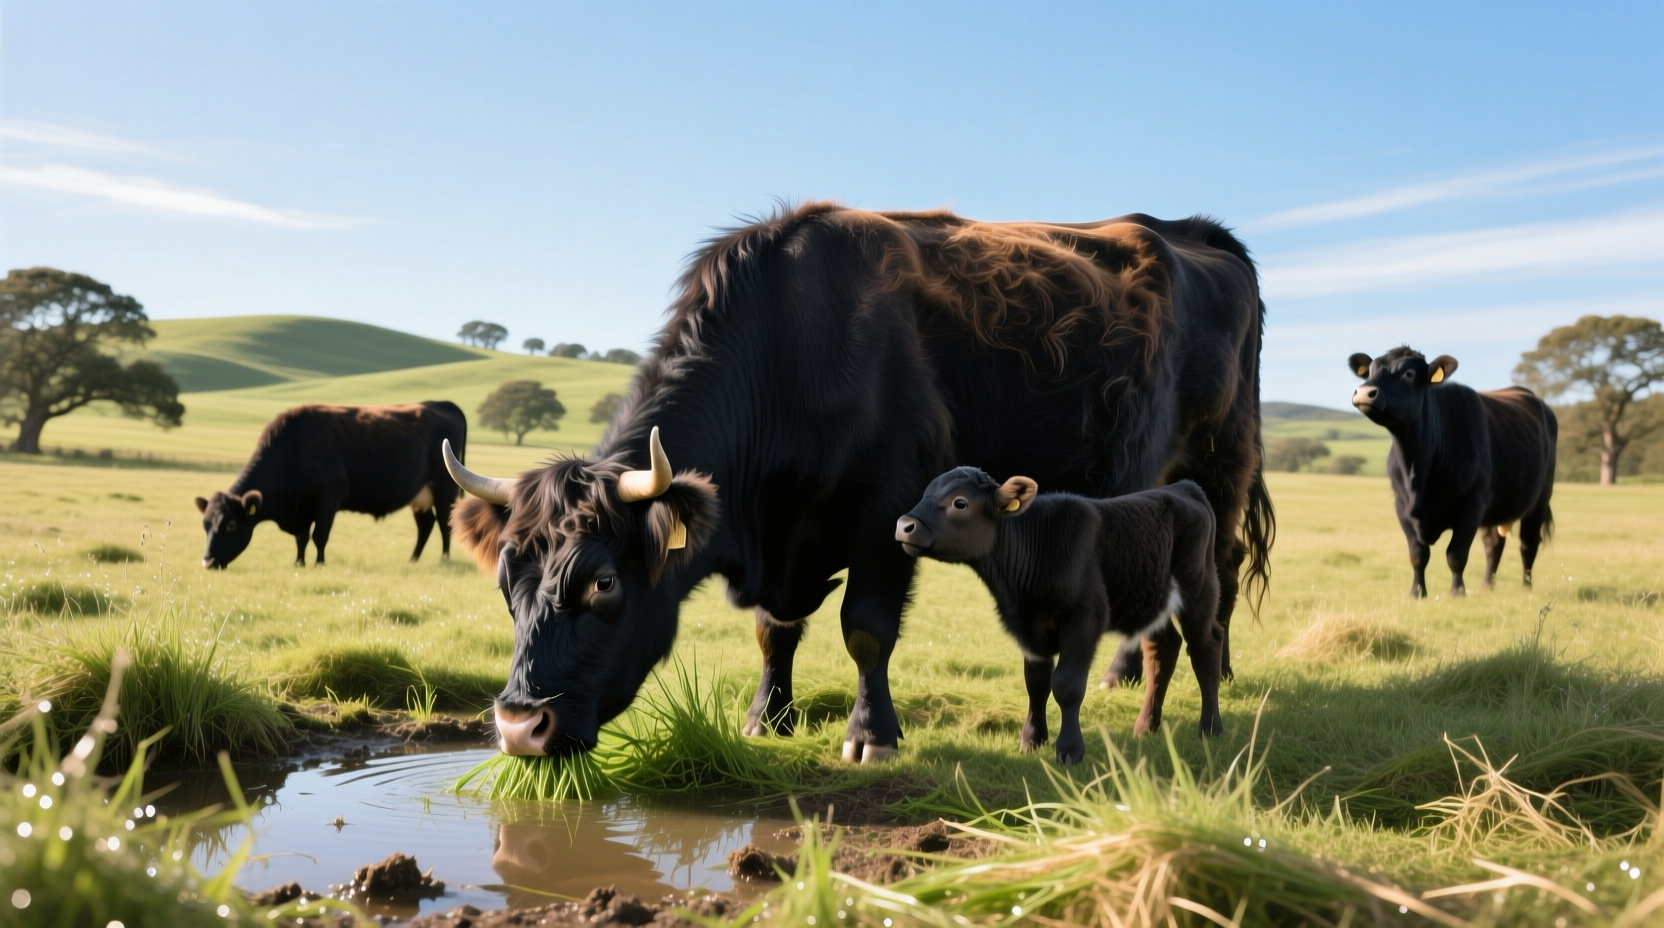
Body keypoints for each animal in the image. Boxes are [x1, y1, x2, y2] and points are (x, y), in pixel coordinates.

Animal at [195, 401, 467, 569]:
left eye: (231, 524)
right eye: (205, 524)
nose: (207, 563)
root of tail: (440, 404)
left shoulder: (327, 500)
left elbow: (319, 536)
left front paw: (319, 564)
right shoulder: (302, 509)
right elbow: (302, 538)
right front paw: (299, 563)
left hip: (445, 490)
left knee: (444, 524)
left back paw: (444, 559)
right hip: (421, 496)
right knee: (426, 526)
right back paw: (413, 560)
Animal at [895, 468, 1222, 763]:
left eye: (960, 503)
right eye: (925, 493)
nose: (904, 524)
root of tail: (1184, 487)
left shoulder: (1084, 618)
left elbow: (1066, 684)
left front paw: (1069, 750)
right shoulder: (1029, 626)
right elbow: (1036, 683)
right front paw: (1031, 740)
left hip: (1198, 588)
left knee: (1205, 647)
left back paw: (1210, 728)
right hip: (1150, 598)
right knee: (1163, 651)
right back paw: (1145, 726)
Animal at [1348, 348, 1556, 597]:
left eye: (1408, 373)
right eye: (1369, 371)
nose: (1364, 392)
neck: (1417, 471)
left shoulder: (1472, 505)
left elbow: (1456, 554)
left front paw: (1457, 593)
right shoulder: (1402, 507)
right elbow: (1418, 554)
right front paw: (1417, 592)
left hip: (1540, 499)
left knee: (1528, 544)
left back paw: (1526, 589)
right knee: (1494, 544)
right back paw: (1487, 587)